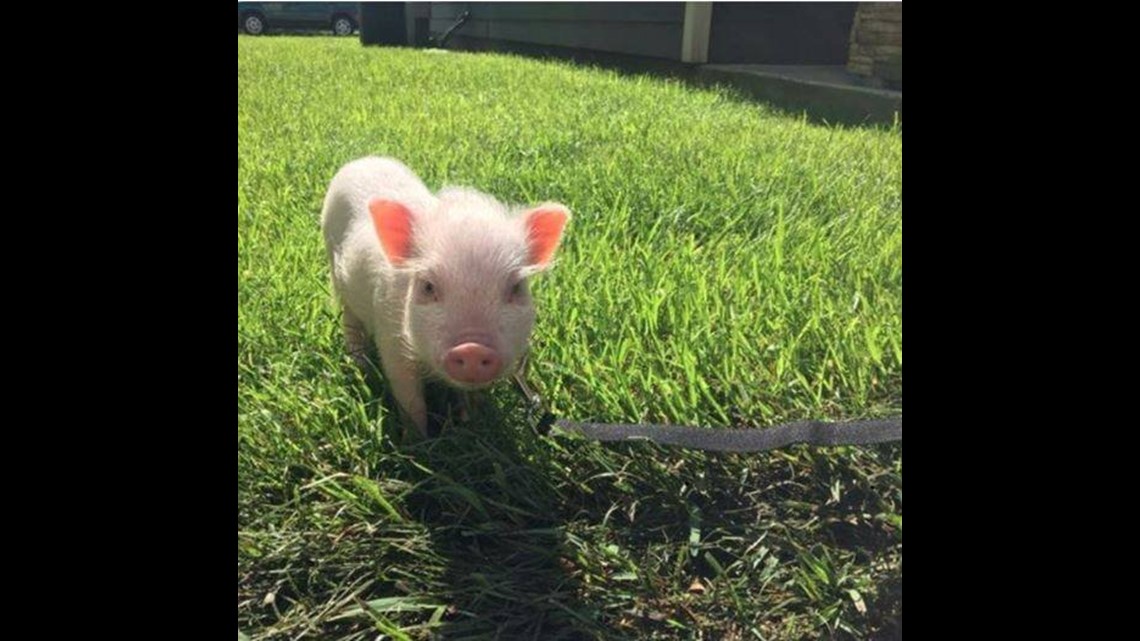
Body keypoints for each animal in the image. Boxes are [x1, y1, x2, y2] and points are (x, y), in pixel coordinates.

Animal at [320, 157, 570, 436]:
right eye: (428, 287)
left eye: (517, 287)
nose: (473, 348)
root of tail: (363, 160)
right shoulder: (391, 340)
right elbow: (410, 399)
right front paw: (417, 440)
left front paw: (470, 420)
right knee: (349, 319)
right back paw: (359, 363)